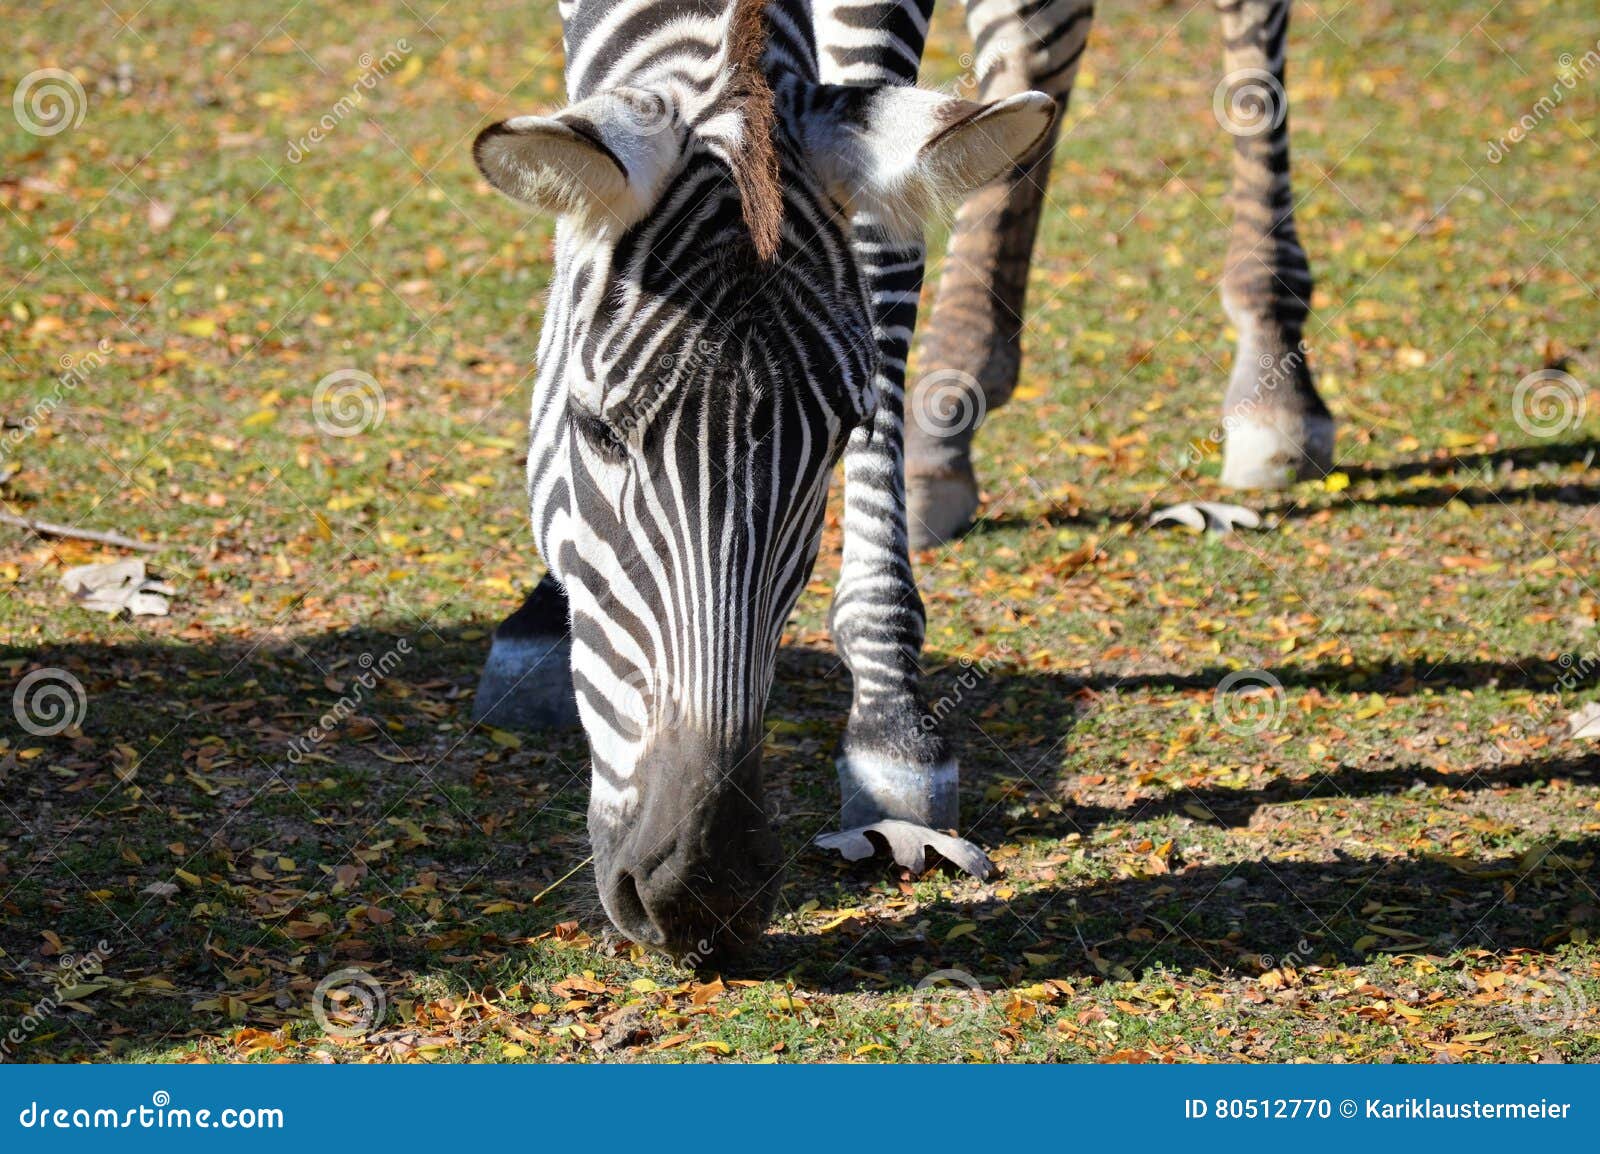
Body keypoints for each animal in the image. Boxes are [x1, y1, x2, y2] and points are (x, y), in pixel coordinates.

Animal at [471, 0, 1331, 958]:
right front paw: (545, 606)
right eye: (596, 430)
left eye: (842, 434)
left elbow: (885, 250)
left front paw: (889, 719)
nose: (702, 894)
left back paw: (1268, 381)